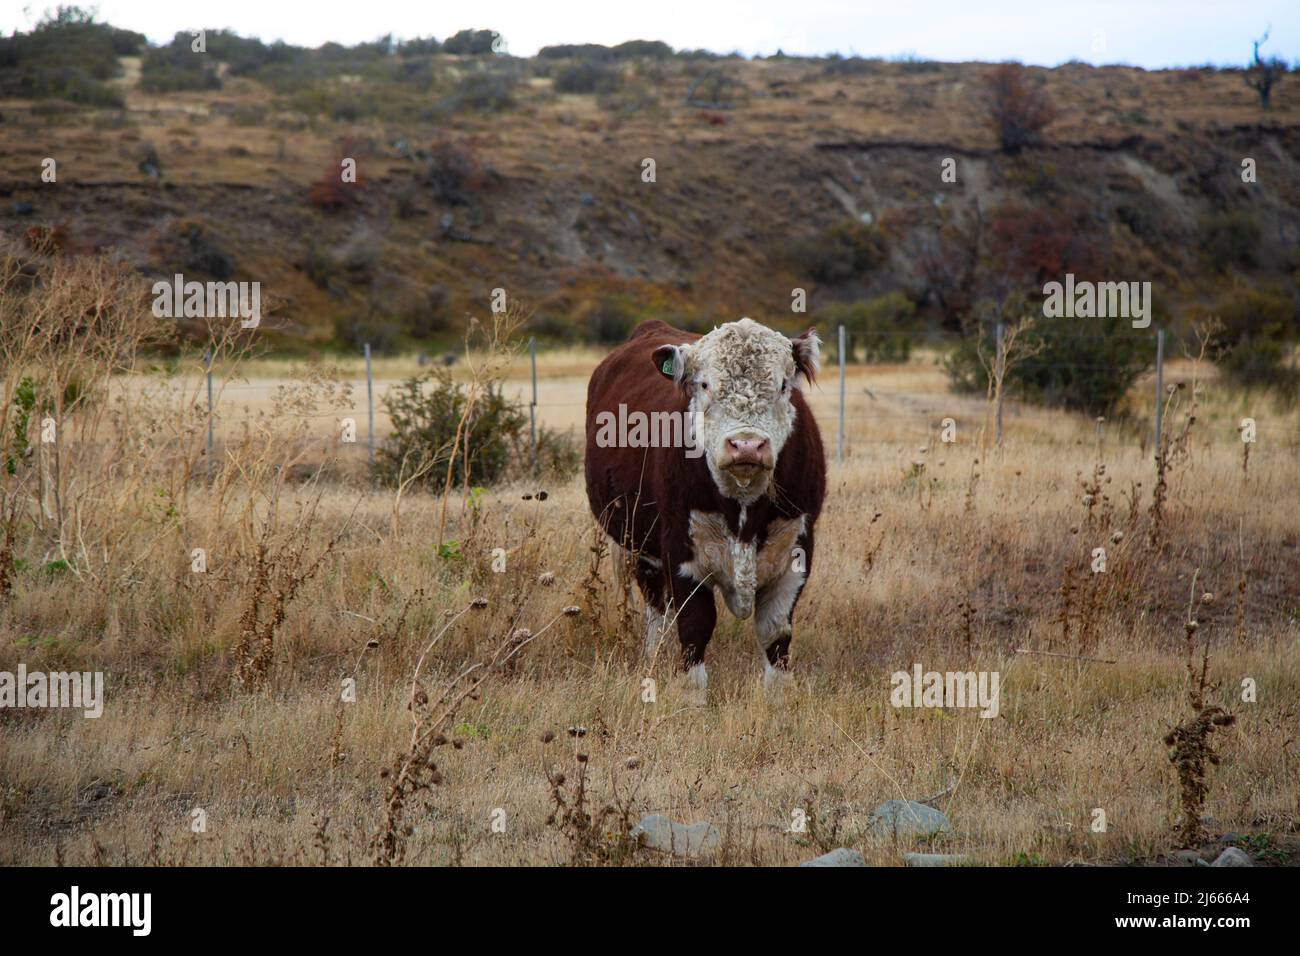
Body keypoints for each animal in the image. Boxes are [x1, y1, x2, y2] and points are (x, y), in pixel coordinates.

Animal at [585, 317, 826, 704]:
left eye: (782, 384)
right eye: (705, 384)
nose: (747, 444)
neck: (743, 506)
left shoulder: (798, 549)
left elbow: (775, 629)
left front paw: (778, 696)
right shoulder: (680, 552)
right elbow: (695, 625)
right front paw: (692, 697)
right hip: (641, 549)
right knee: (656, 608)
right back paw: (653, 656)